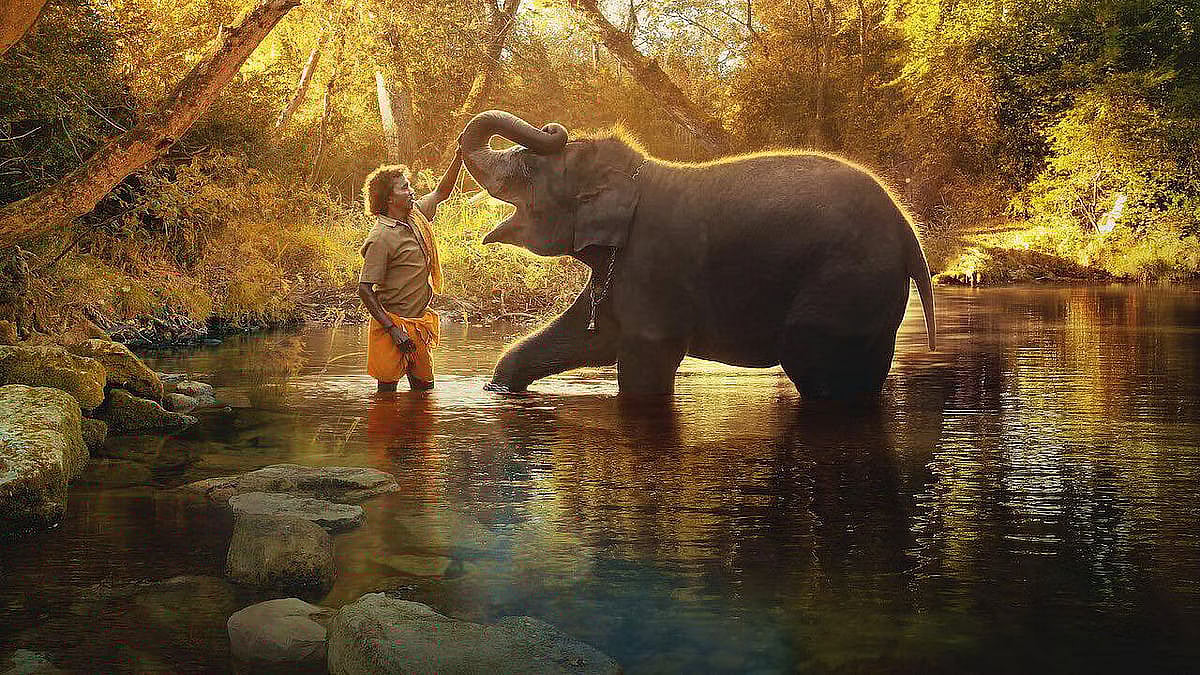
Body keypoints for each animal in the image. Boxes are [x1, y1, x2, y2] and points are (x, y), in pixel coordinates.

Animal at [459, 110, 936, 398]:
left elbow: (643, 362)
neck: (635, 174)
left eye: (527, 170)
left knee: (814, 363)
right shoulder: (623, 268)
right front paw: (499, 389)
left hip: (845, 282)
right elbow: (590, 337)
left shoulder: (653, 264)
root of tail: (907, 231)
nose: (554, 128)